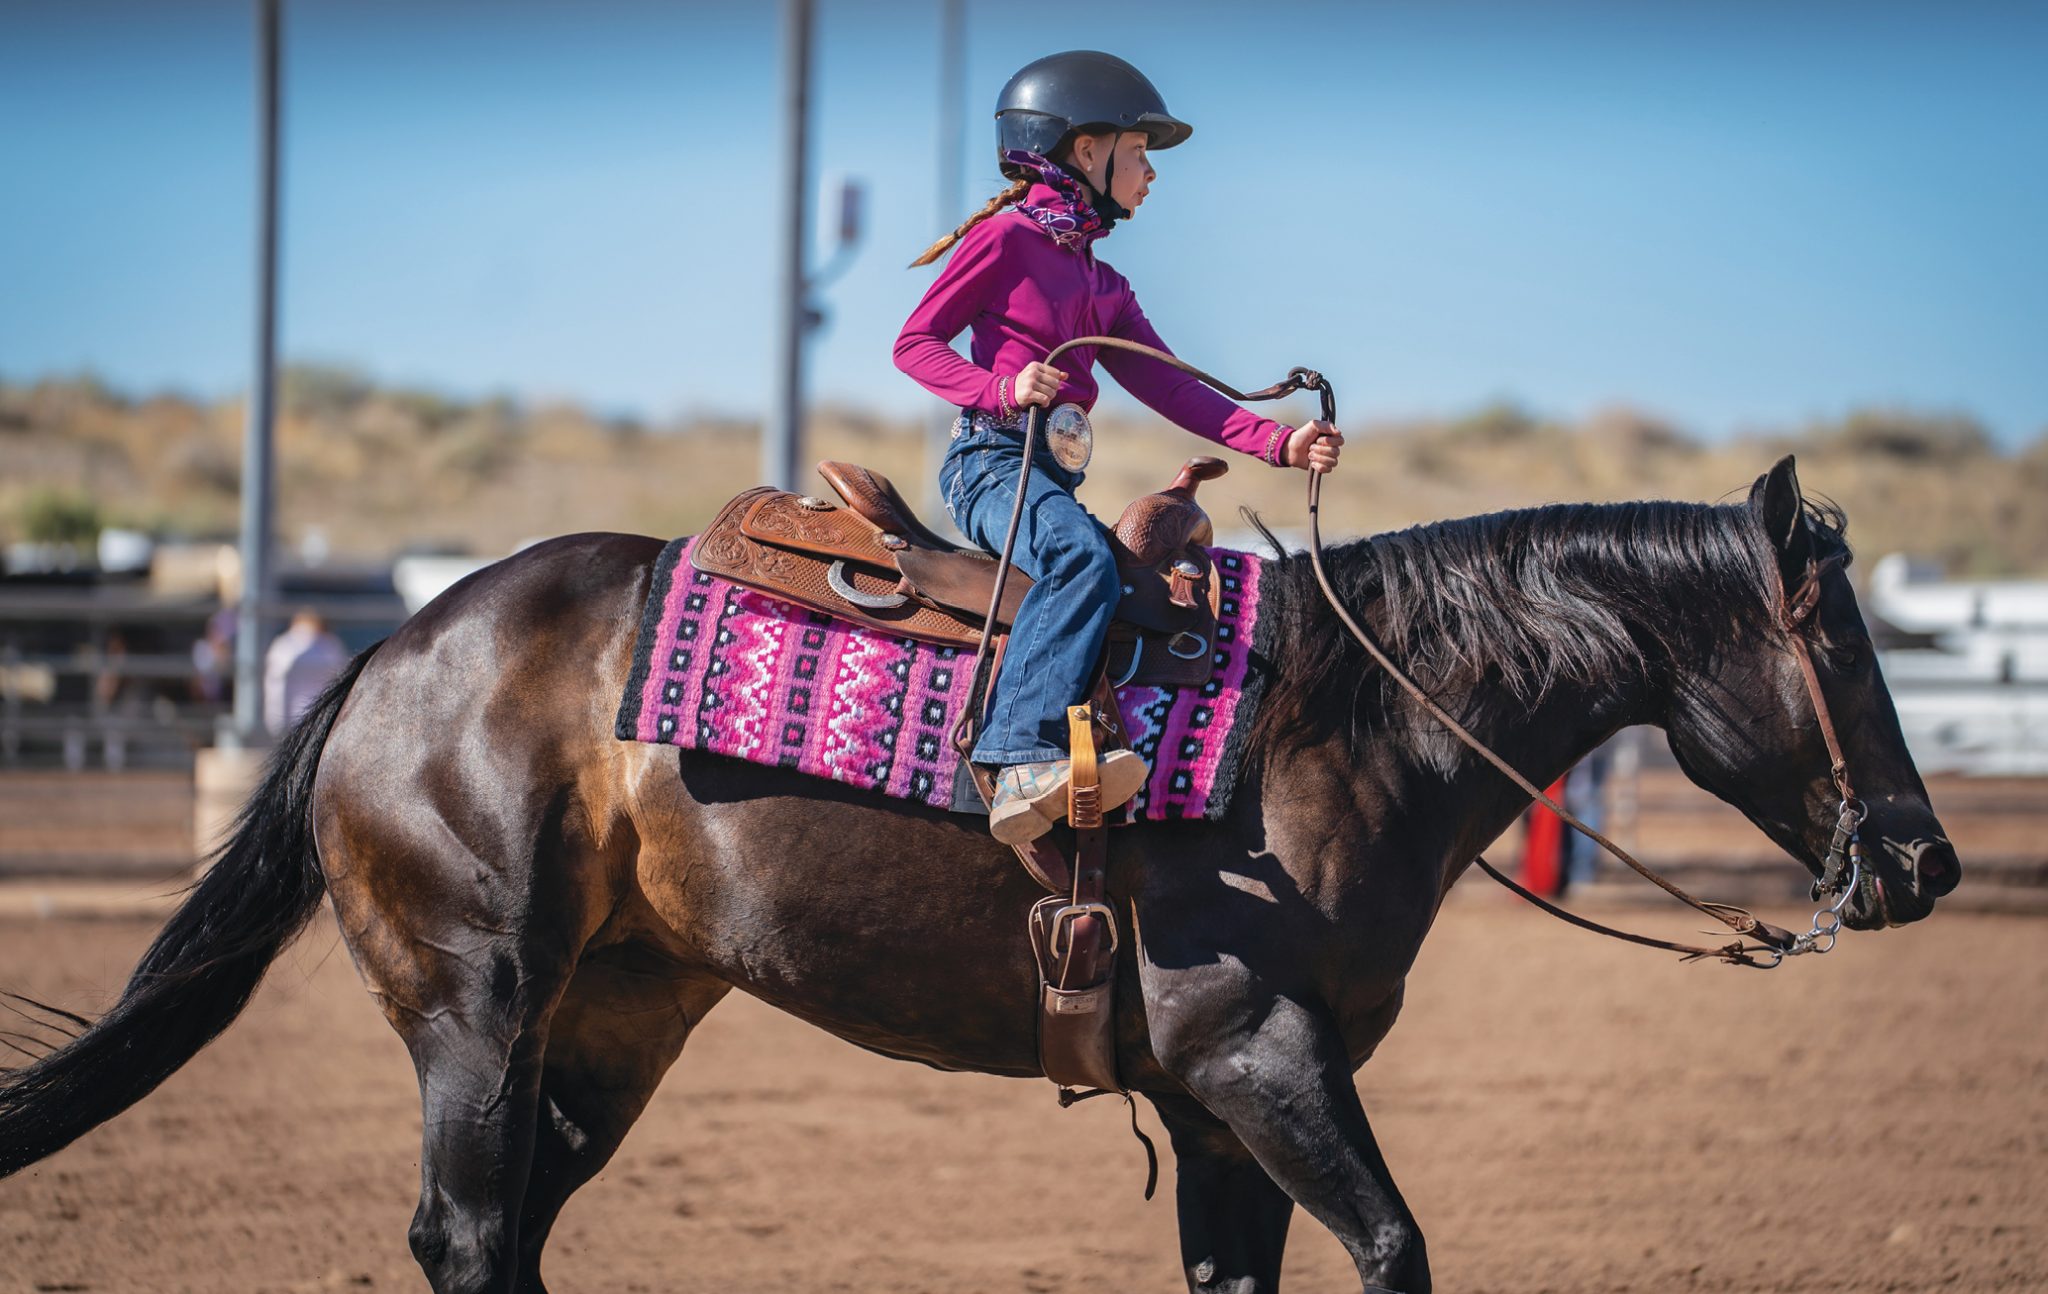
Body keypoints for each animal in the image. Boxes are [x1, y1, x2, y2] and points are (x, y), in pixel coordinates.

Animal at [0, 456, 1958, 1293]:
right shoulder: (1262, 1054)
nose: (1926, 859)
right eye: (1839, 644)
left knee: (515, 1227)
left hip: (615, 1019)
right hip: (475, 1007)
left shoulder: (1223, 1101)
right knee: (468, 1231)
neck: (1333, 726)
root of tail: (390, 654)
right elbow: (1395, 1250)